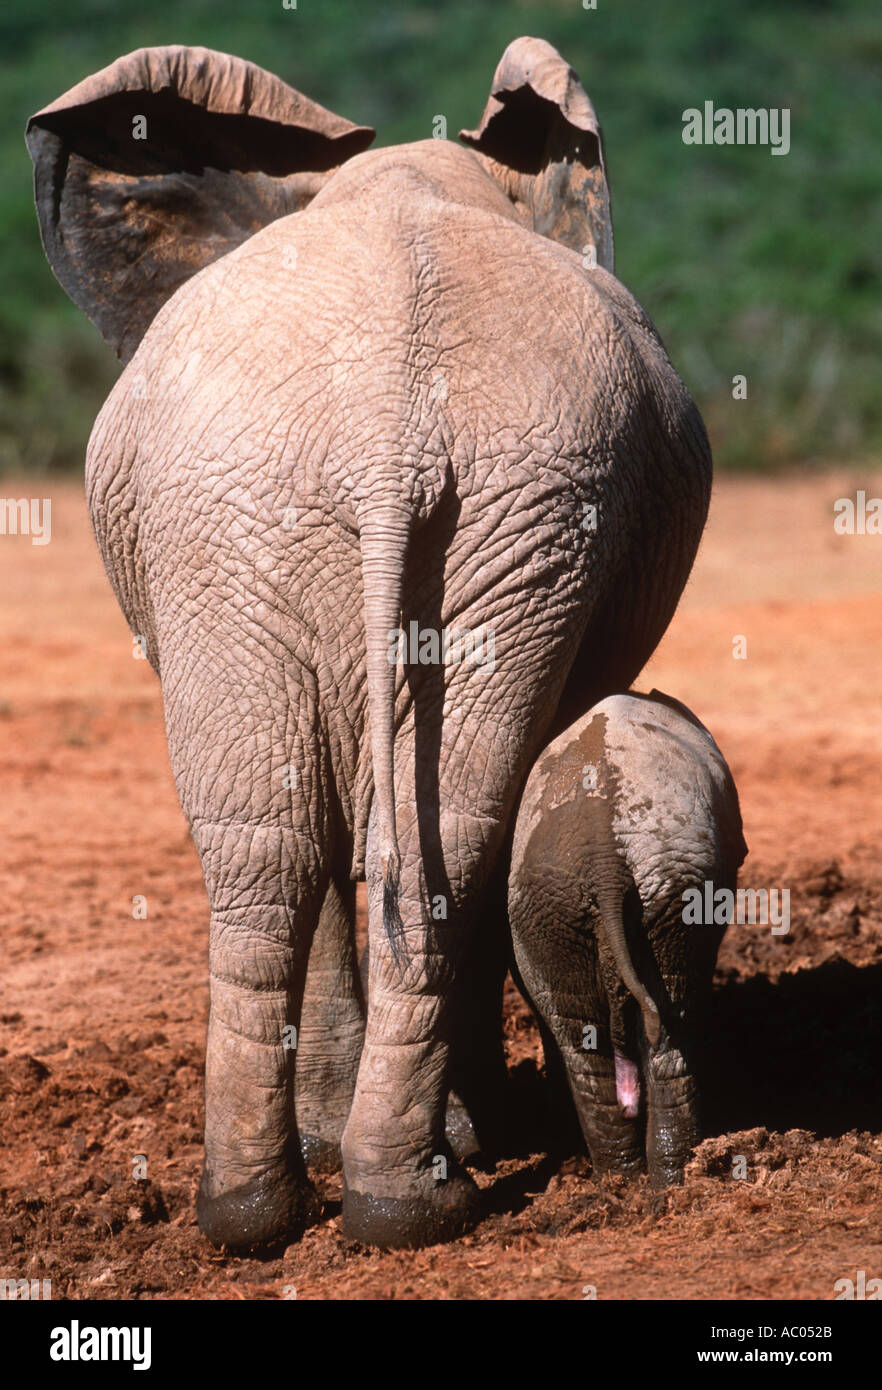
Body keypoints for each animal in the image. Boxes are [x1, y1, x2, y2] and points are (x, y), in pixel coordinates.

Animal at [27, 36, 713, 1250]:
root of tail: (389, 432)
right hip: (326, 515)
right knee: (393, 834)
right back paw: (400, 1199)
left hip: (349, 522)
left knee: (286, 840)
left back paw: (289, 1208)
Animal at [508, 690, 748, 1187]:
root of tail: (606, 862)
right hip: (670, 888)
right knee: (672, 1025)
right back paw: (669, 1184)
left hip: (552, 903)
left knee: (585, 1042)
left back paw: (624, 1185)